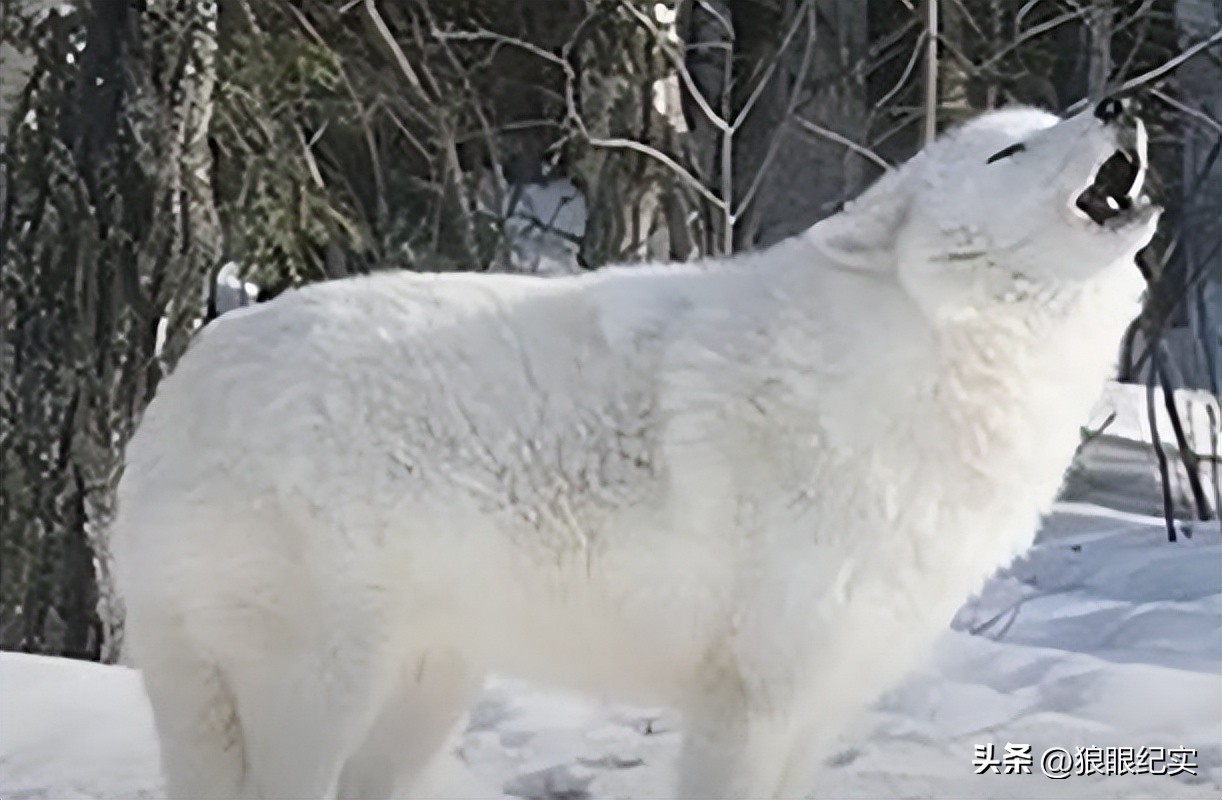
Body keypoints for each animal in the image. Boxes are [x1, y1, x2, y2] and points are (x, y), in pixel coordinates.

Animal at [112, 100, 1158, 799]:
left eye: (1058, 117)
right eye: (1013, 147)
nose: (1121, 102)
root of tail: (186, 379)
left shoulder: (820, 706)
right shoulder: (750, 704)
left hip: (413, 704)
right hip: (323, 694)